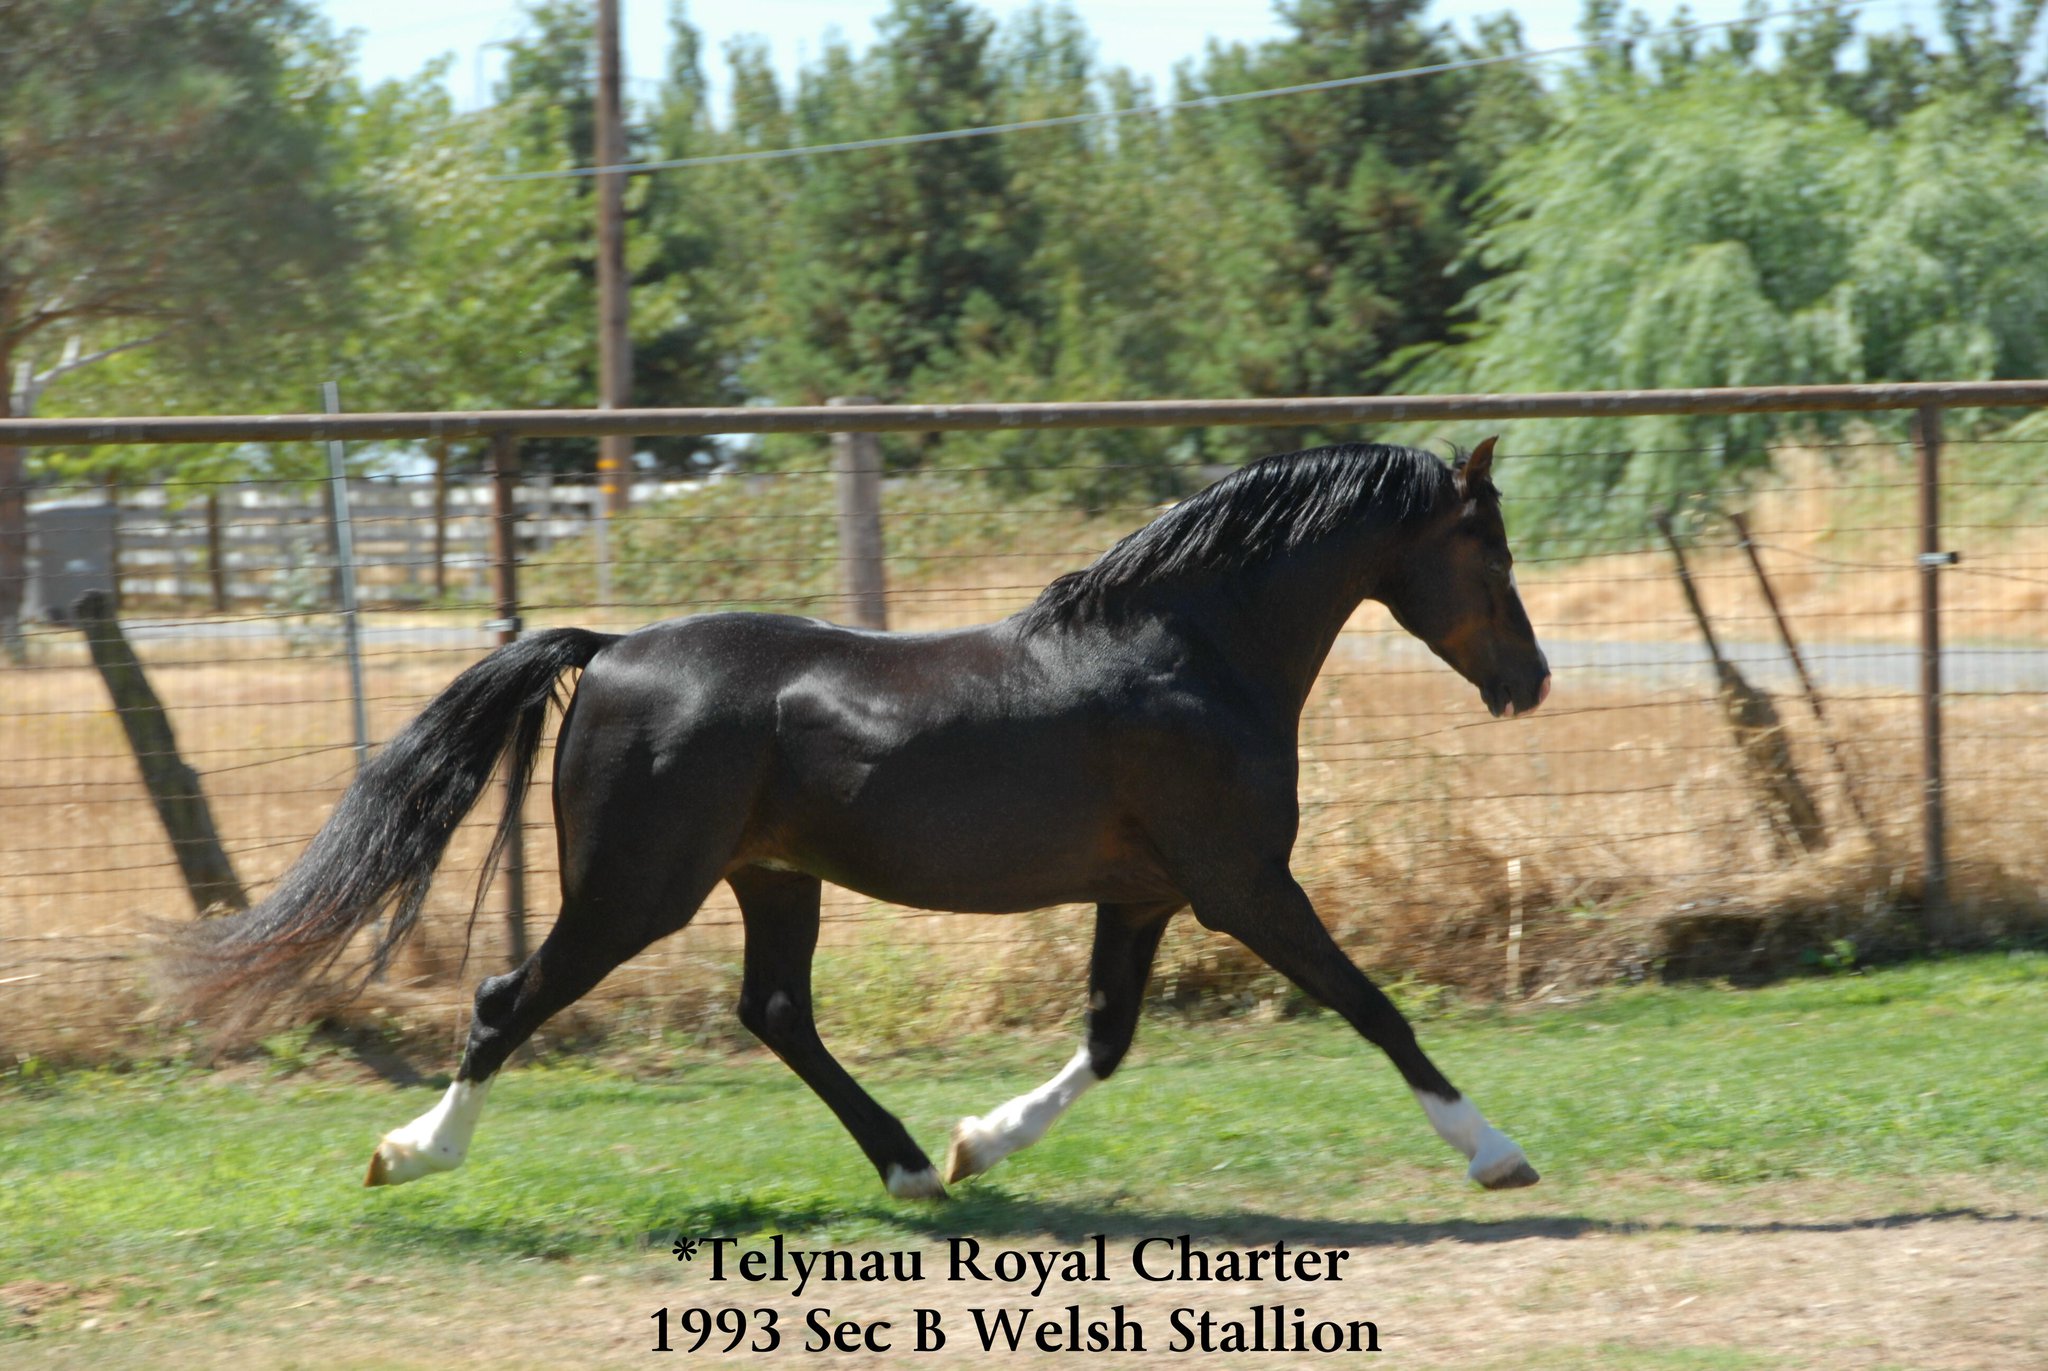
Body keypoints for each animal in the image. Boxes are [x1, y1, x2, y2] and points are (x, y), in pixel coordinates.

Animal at [177, 435, 1551, 1199]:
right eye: (1488, 551)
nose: (1528, 682)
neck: (1191, 655)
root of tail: (609, 648)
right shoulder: (1244, 884)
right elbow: (1373, 1007)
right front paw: (1494, 1152)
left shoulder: (1147, 893)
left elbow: (1107, 1038)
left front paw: (976, 1143)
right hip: (635, 890)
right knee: (507, 1000)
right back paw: (409, 1155)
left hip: (773, 877)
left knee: (774, 1011)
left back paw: (904, 1167)